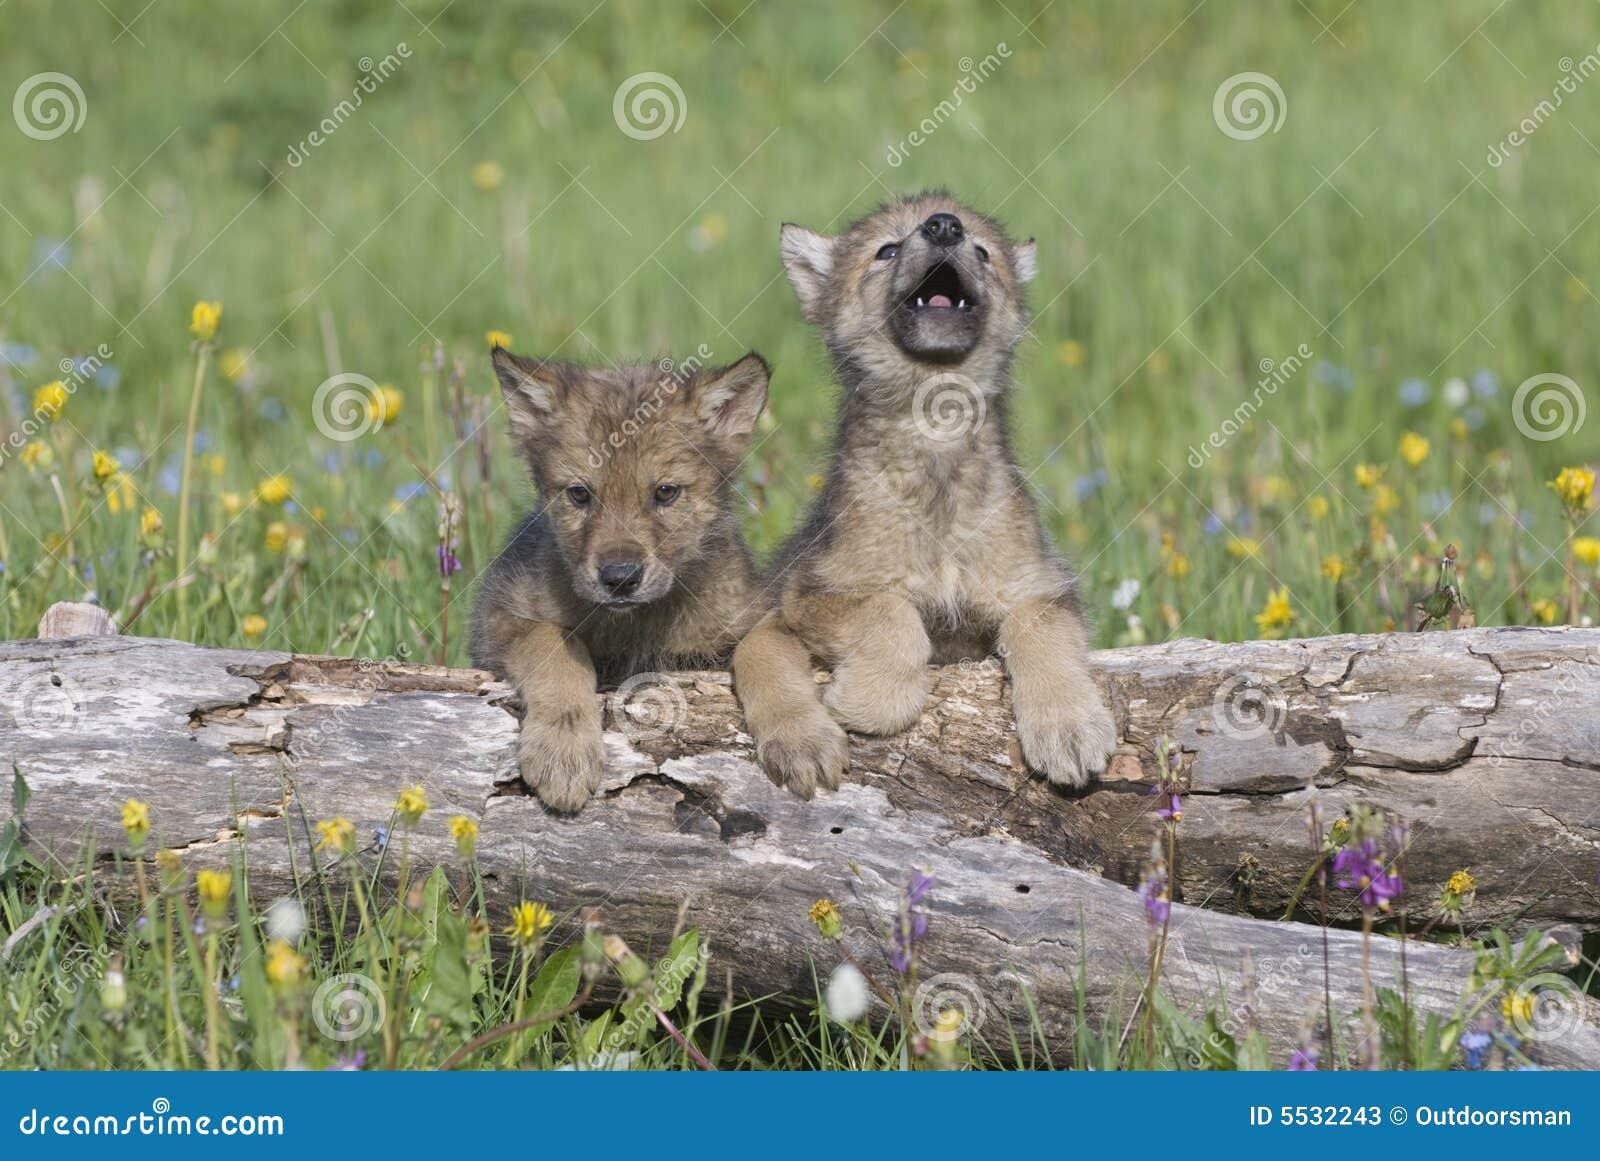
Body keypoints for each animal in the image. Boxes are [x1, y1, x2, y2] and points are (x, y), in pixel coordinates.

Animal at [471, 346, 774, 812]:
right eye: (580, 494)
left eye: (665, 492)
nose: (619, 578)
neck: (635, 626)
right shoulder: (499, 617)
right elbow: (554, 645)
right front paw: (564, 751)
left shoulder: (749, 614)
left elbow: (767, 646)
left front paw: (803, 739)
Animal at [732, 192, 1118, 797]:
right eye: (887, 249)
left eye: (982, 251)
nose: (943, 227)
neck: (937, 431)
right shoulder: (817, 589)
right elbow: (891, 614)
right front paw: (874, 701)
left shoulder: (1040, 586)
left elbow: (1042, 632)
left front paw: (1070, 728)